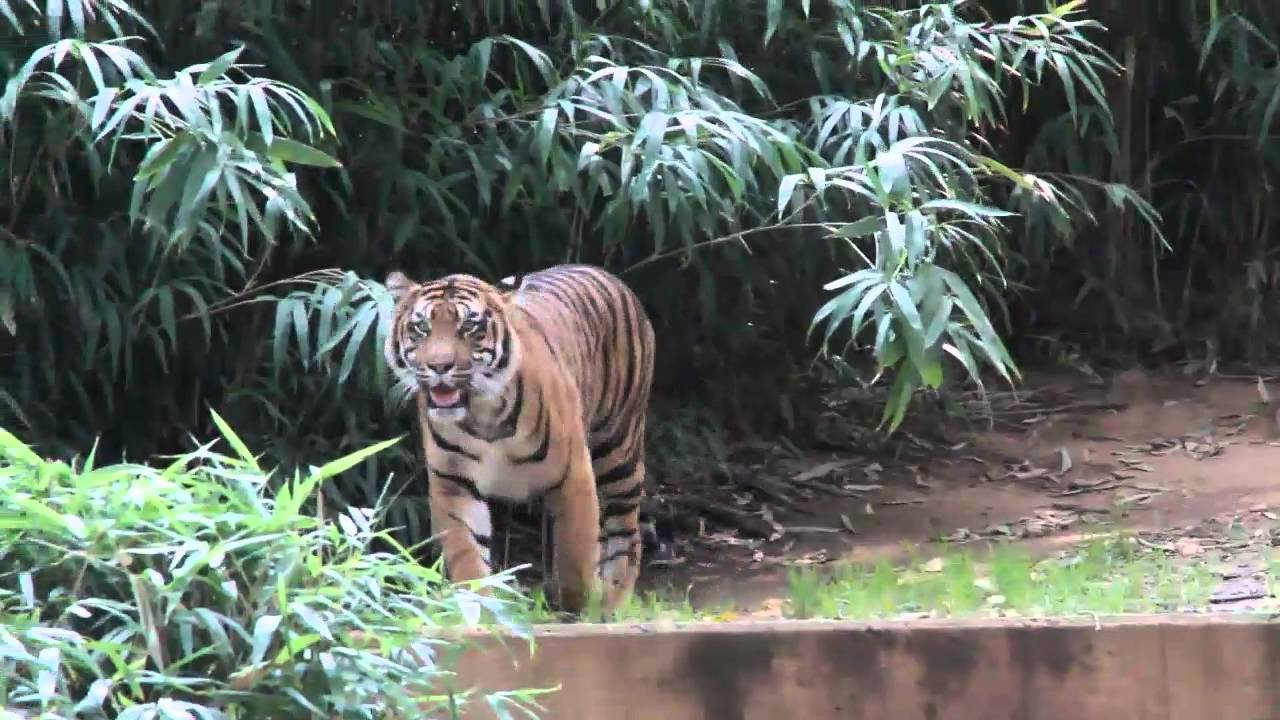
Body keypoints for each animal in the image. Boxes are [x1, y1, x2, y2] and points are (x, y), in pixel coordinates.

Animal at [383, 263, 656, 615]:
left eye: (469, 327)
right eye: (421, 327)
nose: (439, 365)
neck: (482, 413)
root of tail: (606, 273)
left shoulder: (574, 475)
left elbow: (576, 557)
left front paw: (578, 610)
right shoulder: (454, 484)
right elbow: (468, 558)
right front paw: (479, 612)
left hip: (618, 451)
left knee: (627, 535)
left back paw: (612, 603)